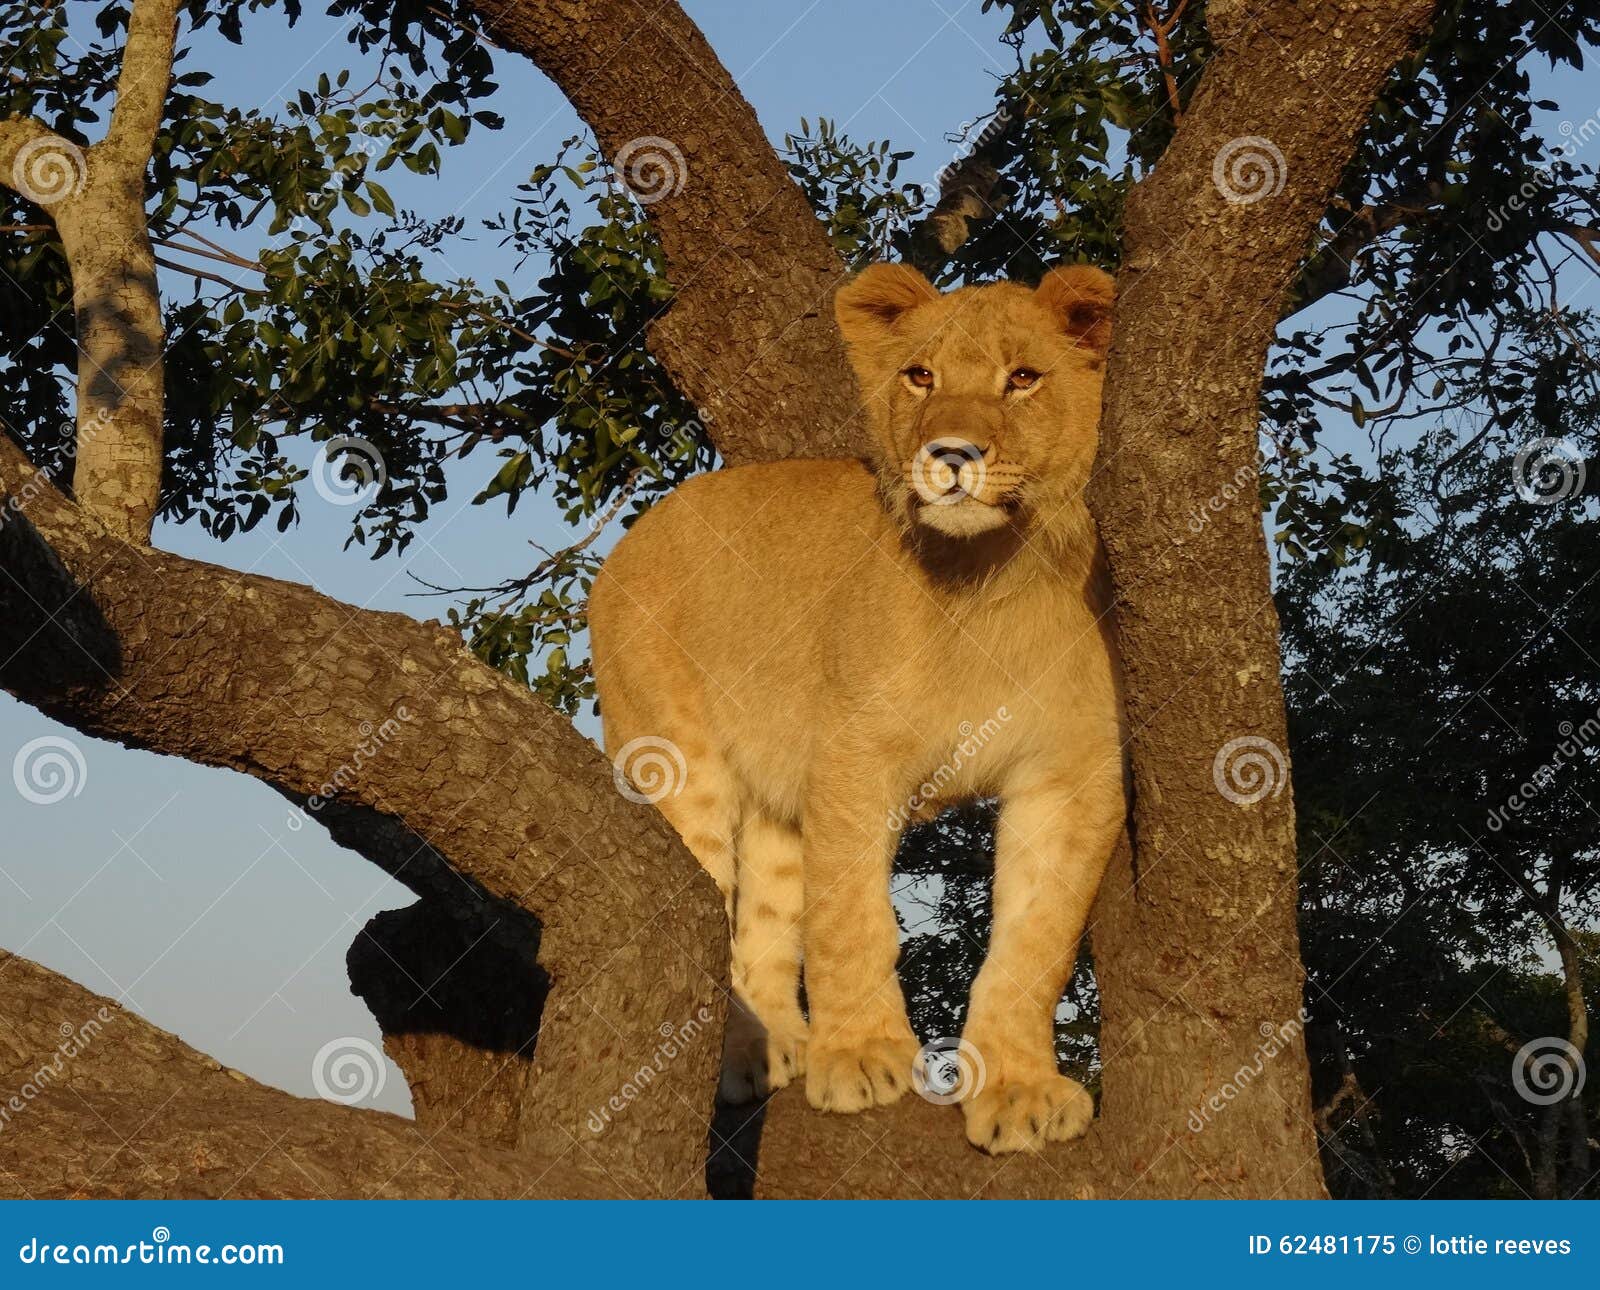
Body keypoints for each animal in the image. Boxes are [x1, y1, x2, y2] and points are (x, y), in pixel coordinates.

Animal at [588, 261, 1127, 1154]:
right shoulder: (852, 755)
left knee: (763, 925)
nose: (950, 453)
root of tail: (633, 535)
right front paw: (862, 1056)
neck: (990, 577)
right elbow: (852, 916)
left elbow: (1035, 943)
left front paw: (1018, 1089)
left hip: (775, 797)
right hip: (674, 755)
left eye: (1023, 378)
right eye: (921, 376)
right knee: (703, 907)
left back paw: (772, 1044)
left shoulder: (1072, 775)